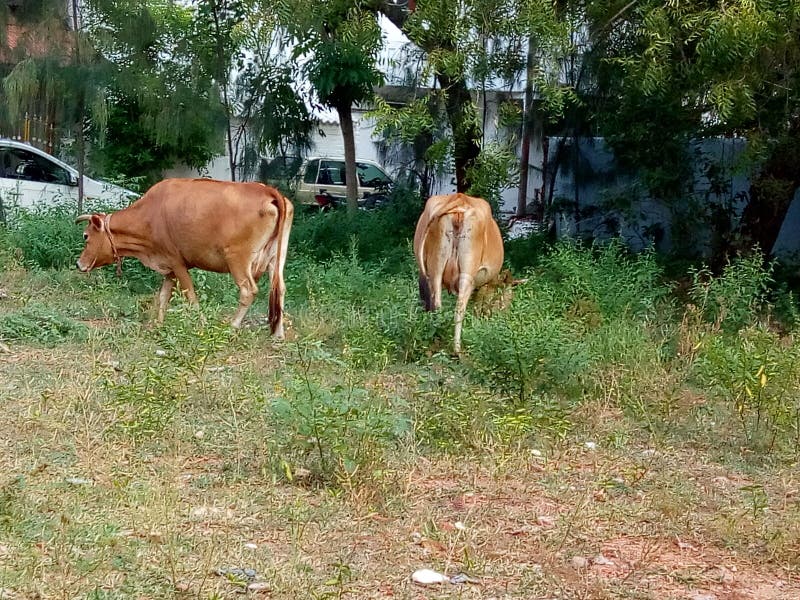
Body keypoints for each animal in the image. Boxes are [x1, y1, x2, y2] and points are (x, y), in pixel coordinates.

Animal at [76, 178, 294, 338]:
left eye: (86, 236)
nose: (79, 264)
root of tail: (268, 191)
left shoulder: (176, 262)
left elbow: (190, 296)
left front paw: (201, 325)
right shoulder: (168, 266)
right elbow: (163, 296)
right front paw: (157, 325)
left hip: (238, 259)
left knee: (248, 290)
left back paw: (231, 327)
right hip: (276, 257)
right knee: (280, 289)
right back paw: (278, 335)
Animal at [413, 193, 505, 354]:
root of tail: (458, 199)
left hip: (436, 266)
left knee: (436, 304)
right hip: (467, 271)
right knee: (459, 307)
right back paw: (457, 349)